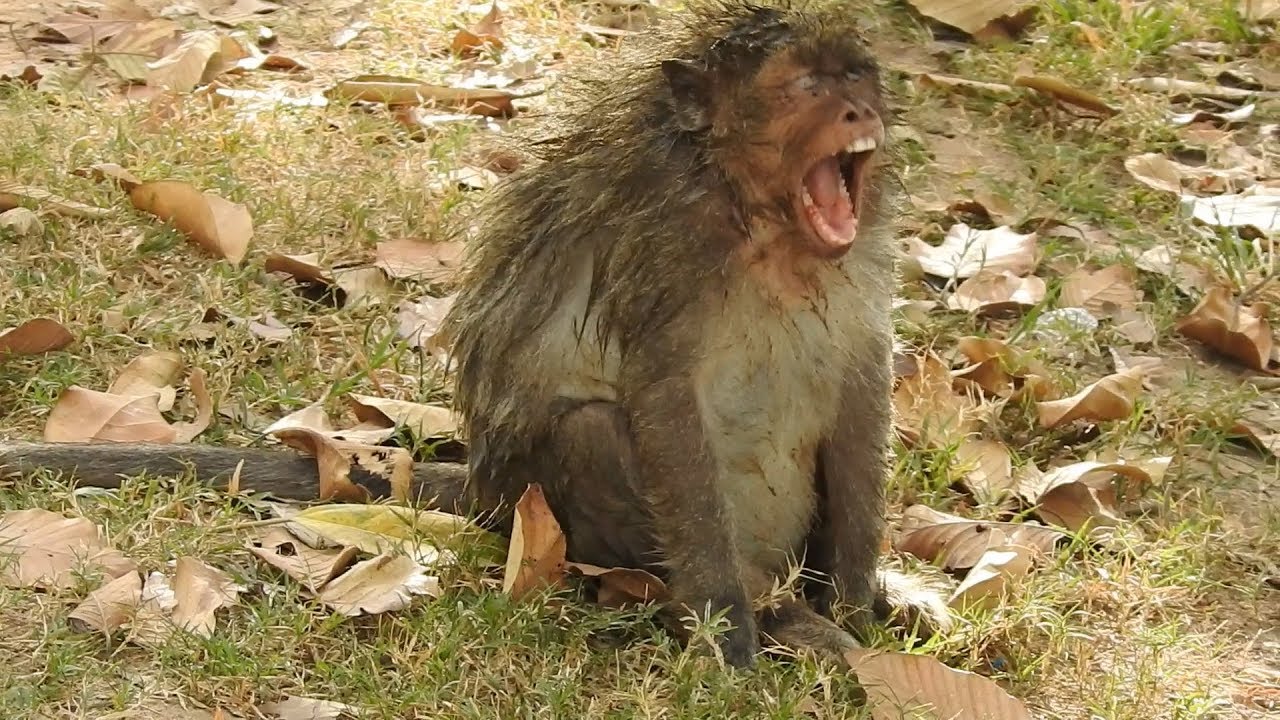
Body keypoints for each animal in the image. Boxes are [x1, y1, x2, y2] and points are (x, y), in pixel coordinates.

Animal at [1, 0, 949, 668]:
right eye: (807, 88)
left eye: (857, 75)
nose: (859, 106)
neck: (755, 217)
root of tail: (491, 490)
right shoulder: (665, 252)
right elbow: (665, 403)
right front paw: (733, 632)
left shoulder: (860, 255)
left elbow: (861, 379)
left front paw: (856, 597)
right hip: (550, 504)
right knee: (590, 431)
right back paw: (773, 611)